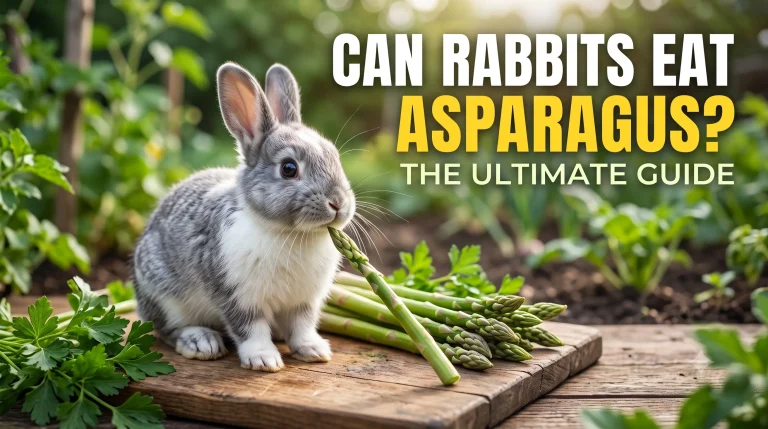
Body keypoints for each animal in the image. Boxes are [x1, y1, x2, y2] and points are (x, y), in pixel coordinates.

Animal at [132, 62, 356, 372]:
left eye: (335, 156)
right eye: (288, 168)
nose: (338, 203)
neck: (289, 232)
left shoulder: (304, 302)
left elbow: (302, 326)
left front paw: (314, 350)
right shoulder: (237, 296)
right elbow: (250, 328)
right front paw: (264, 359)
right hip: (164, 296)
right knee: (167, 329)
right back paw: (201, 342)